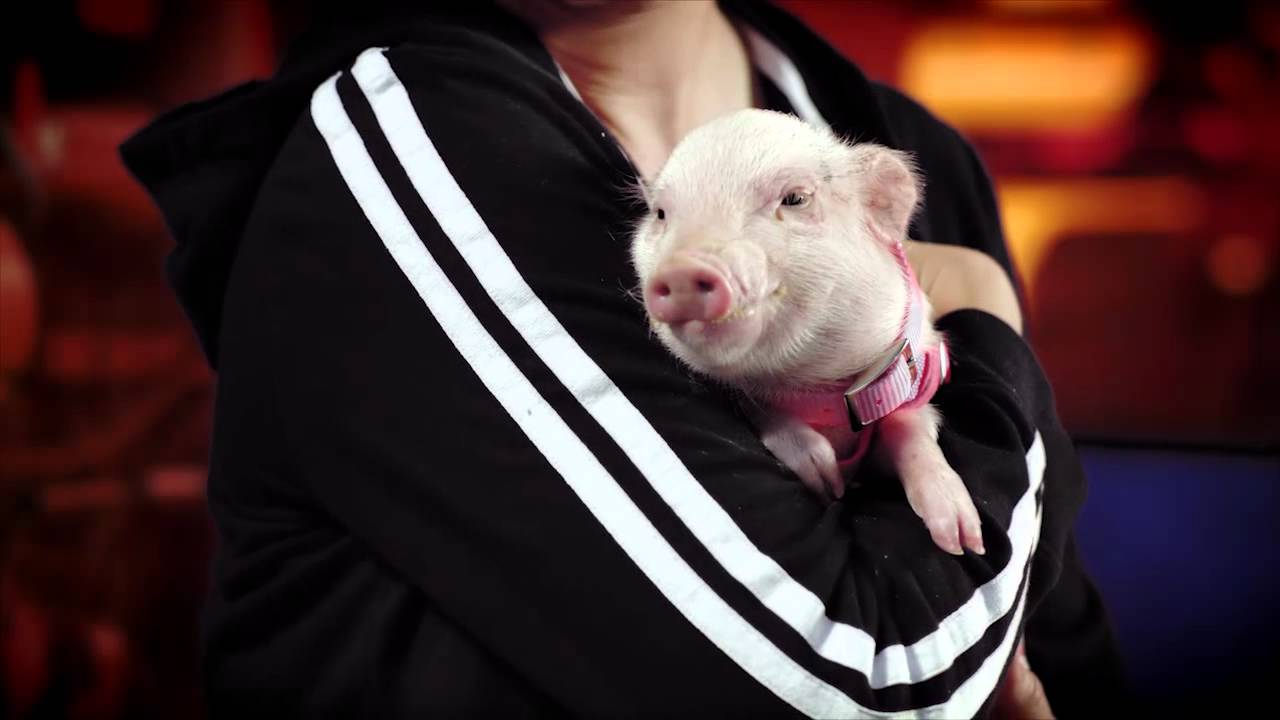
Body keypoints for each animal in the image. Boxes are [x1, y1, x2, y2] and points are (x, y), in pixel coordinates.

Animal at [630, 108, 984, 556]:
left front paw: (962, 539)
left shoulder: (914, 363)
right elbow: (764, 410)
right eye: (661, 214)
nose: (682, 269)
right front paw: (826, 481)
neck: (813, 384)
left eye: (795, 199)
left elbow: (912, 425)